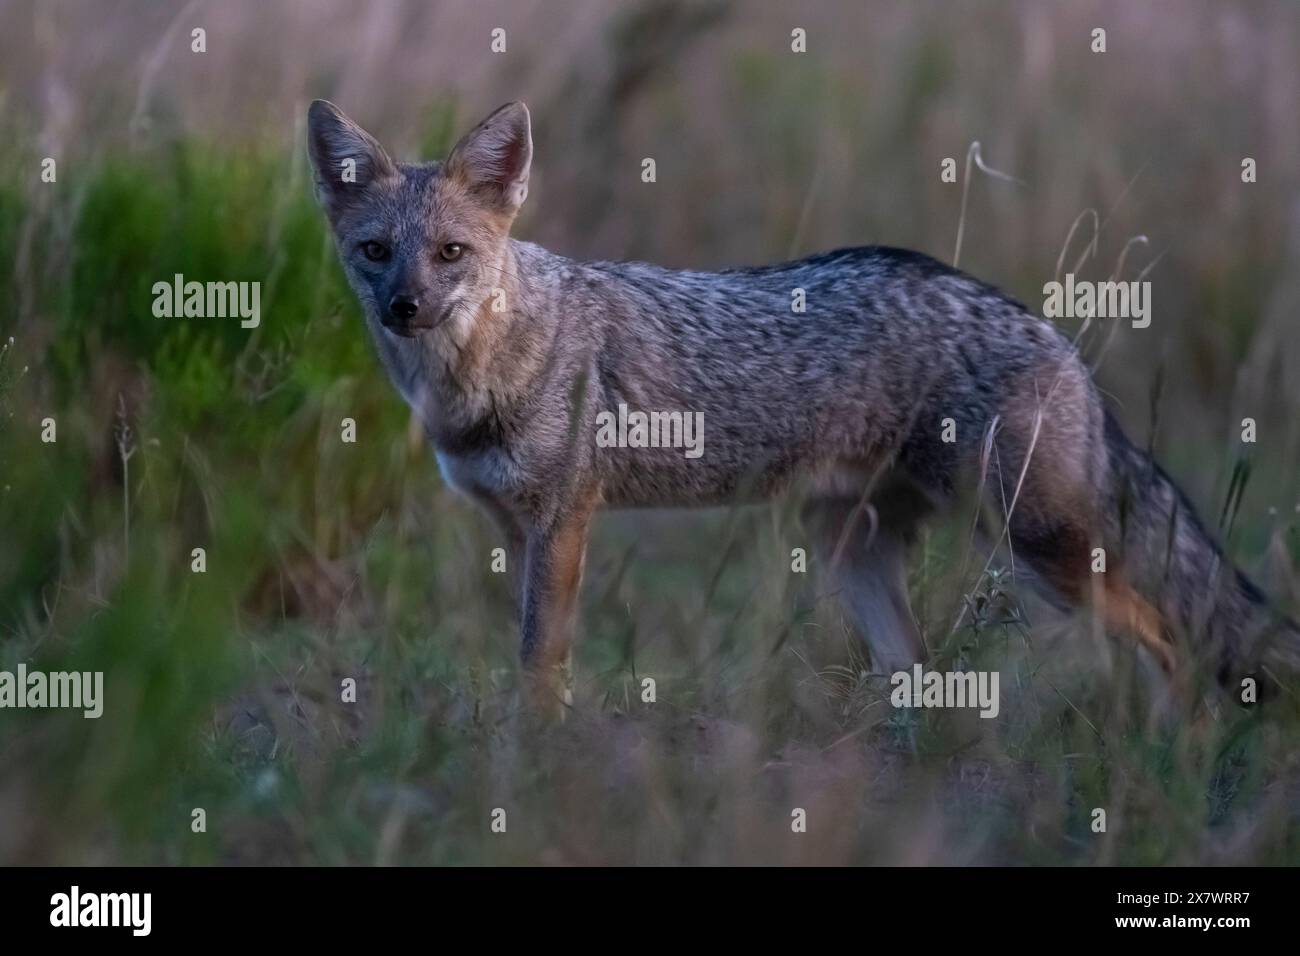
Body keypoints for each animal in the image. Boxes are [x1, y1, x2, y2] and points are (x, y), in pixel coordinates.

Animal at [306, 98, 1300, 715]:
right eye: (375, 251)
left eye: (450, 253)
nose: (404, 307)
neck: (481, 373)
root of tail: (1041, 324)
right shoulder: (520, 530)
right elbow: (530, 658)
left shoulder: (564, 521)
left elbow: (539, 663)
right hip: (855, 555)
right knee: (923, 683)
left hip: (1042, 550)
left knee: (1173, 648)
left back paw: (1174, 751)